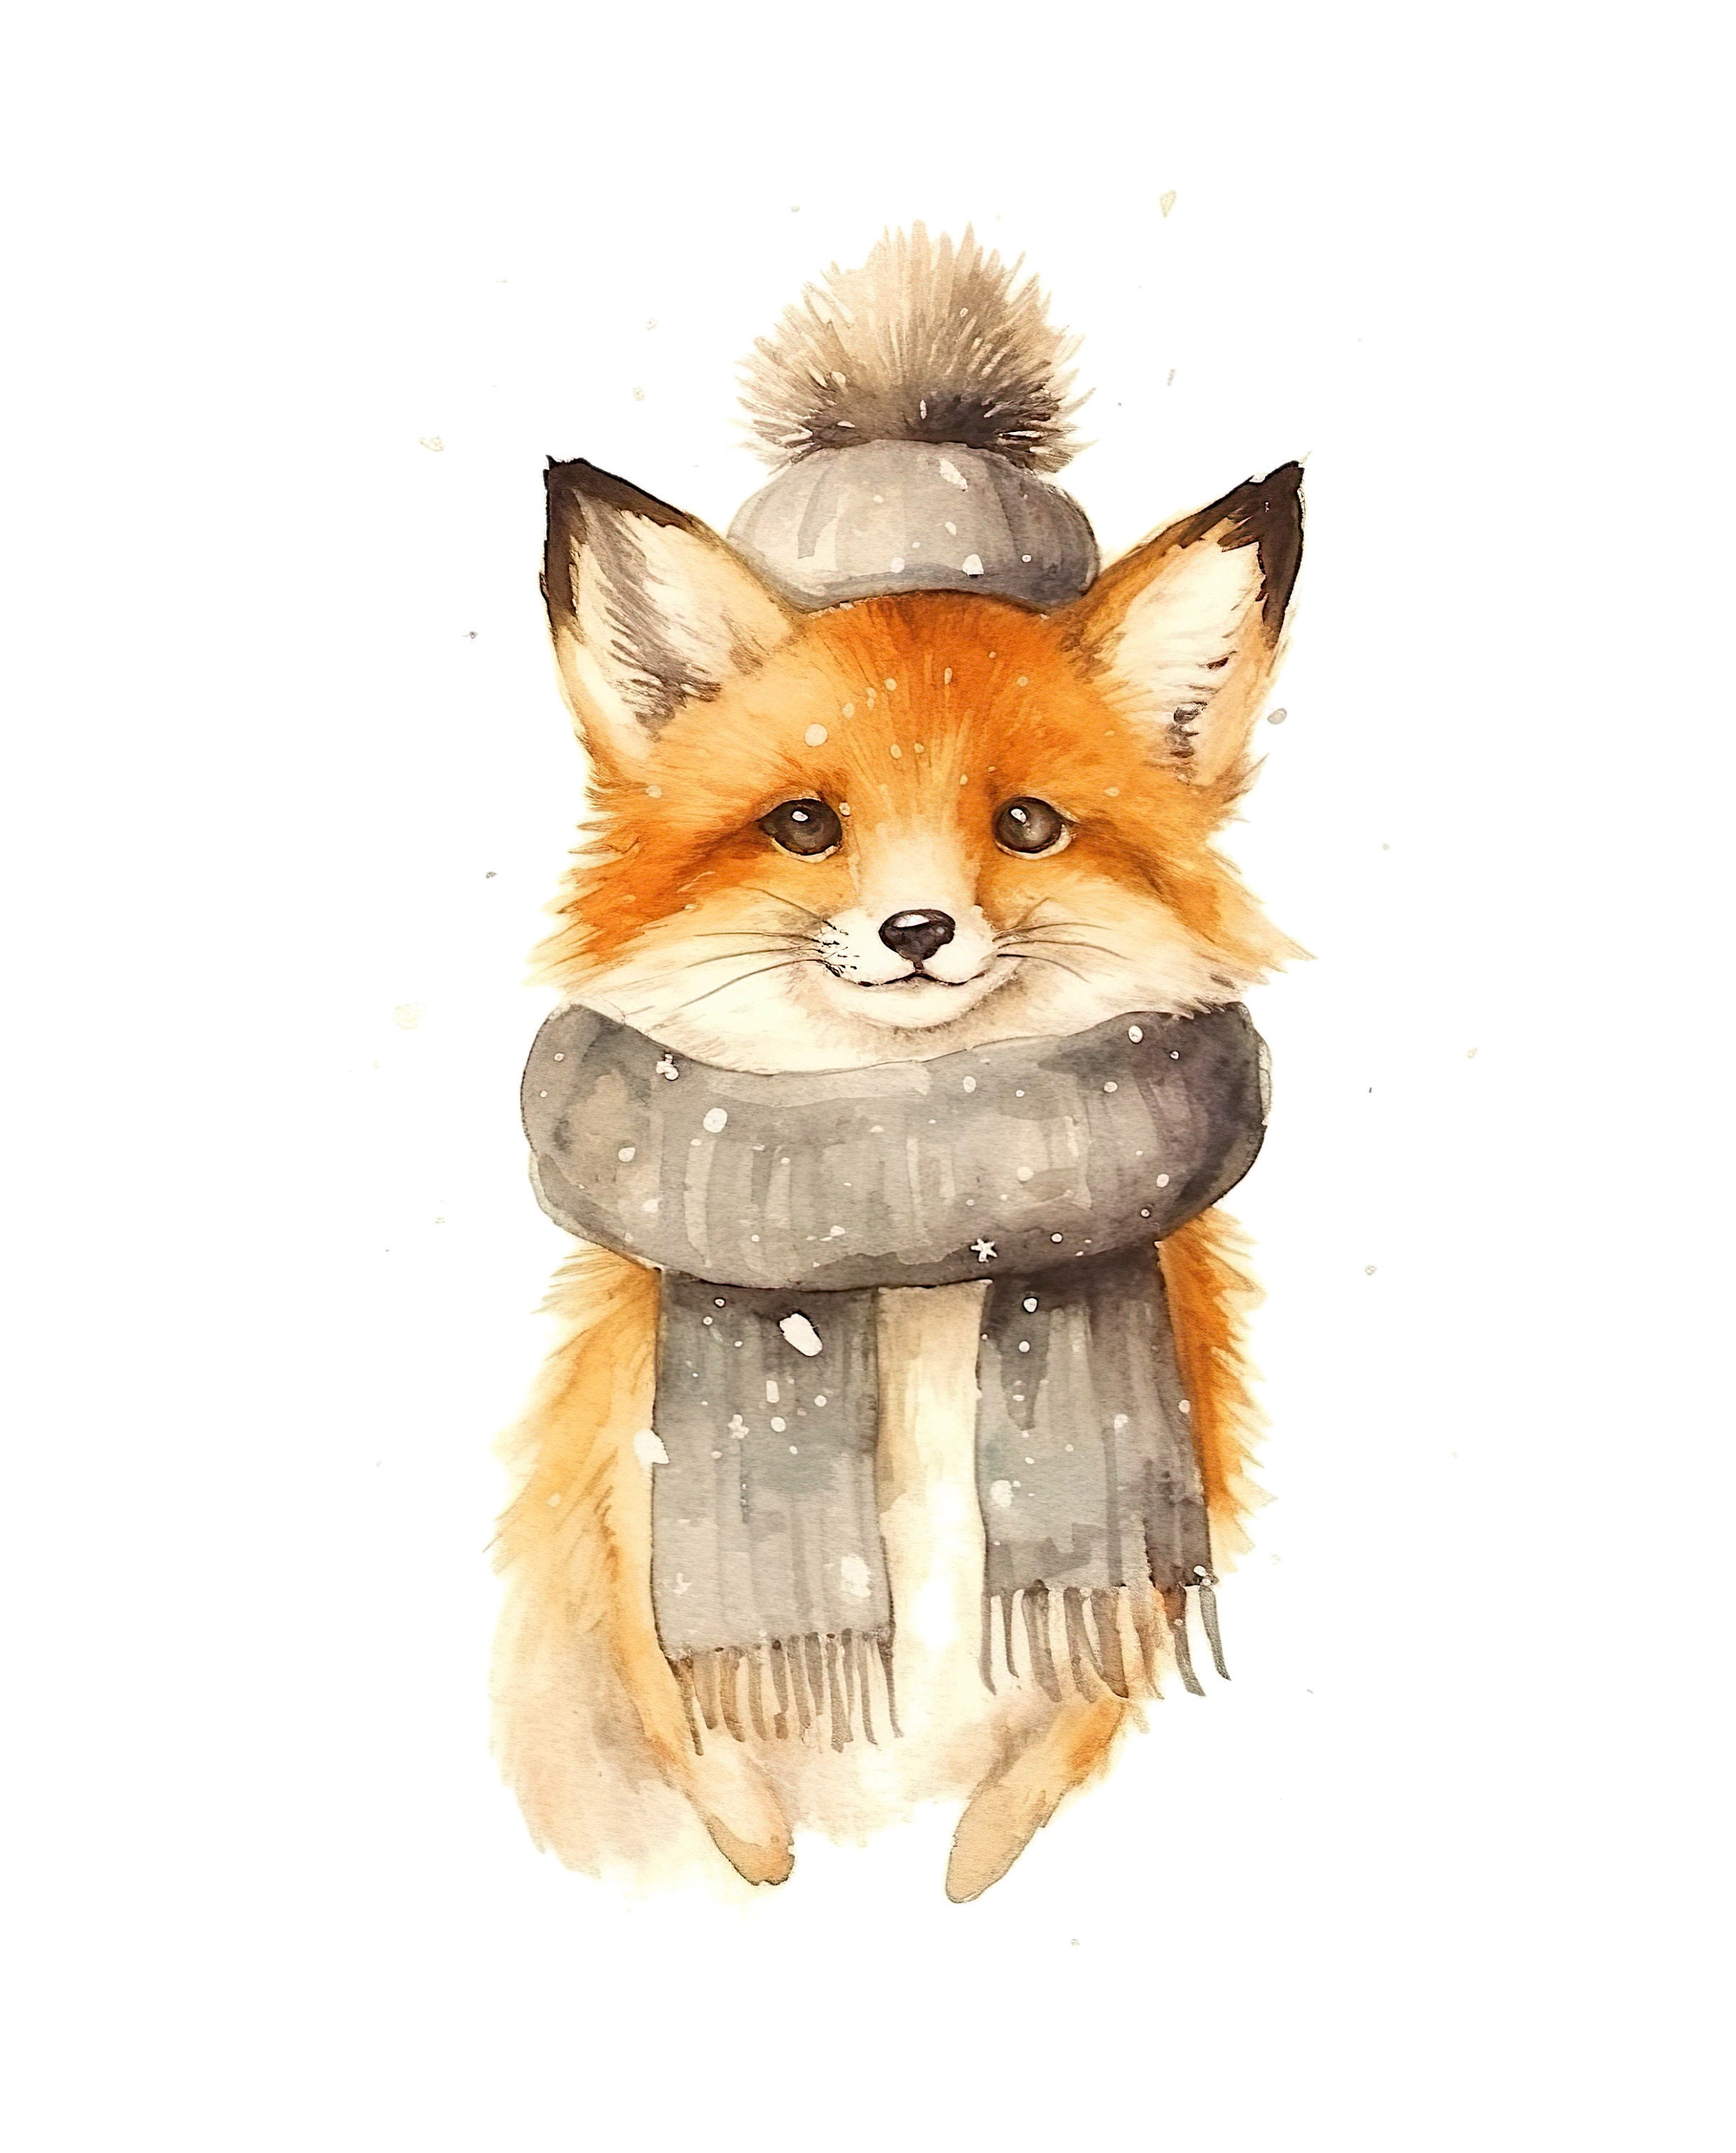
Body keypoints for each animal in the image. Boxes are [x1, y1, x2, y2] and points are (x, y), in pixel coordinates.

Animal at [493, 228, 1302, 1899]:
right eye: (806, 824)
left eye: (1028, 825)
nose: (917, 930)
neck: (904, 1251)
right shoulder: (654, 1639)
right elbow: (743, 1830)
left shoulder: (1108, 1647)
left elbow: (1005, 1819)